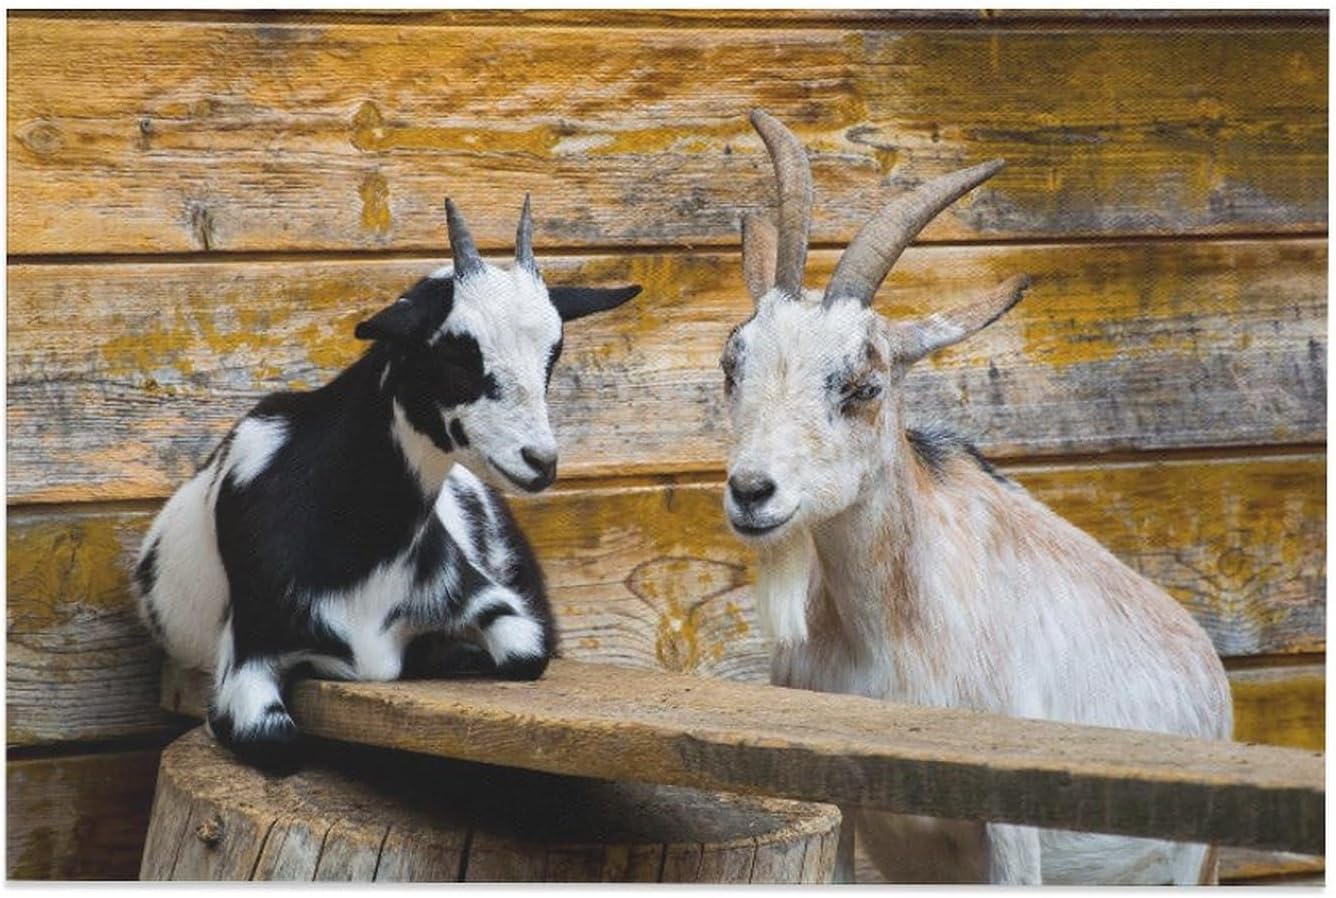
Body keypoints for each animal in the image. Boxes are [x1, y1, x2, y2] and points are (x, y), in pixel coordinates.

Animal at [133, 196, 640, 772]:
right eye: (455, 353)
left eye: (553, 355)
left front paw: (455, 653)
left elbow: (526, 653)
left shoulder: (481, 598)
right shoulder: (251, 652)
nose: (539, 461)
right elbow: (276, 742)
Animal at [719, 110, 1232, 884]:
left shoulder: (1011, 825)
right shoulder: (837, 803)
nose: (752, 492)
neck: (893, 638)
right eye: (731, 364)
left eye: (865, 385)